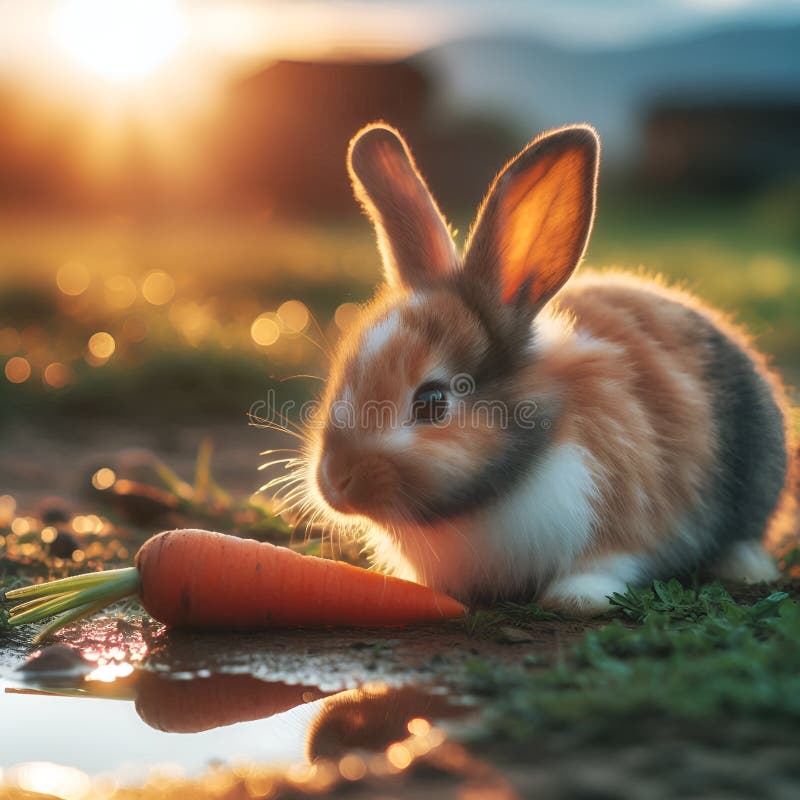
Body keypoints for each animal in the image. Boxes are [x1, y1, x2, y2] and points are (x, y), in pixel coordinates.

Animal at [295, 122, 794, 616]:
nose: (335, 480)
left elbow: (607, 561)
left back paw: (744, 568)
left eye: (432, 401)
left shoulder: (626, 515)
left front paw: (575, 599)